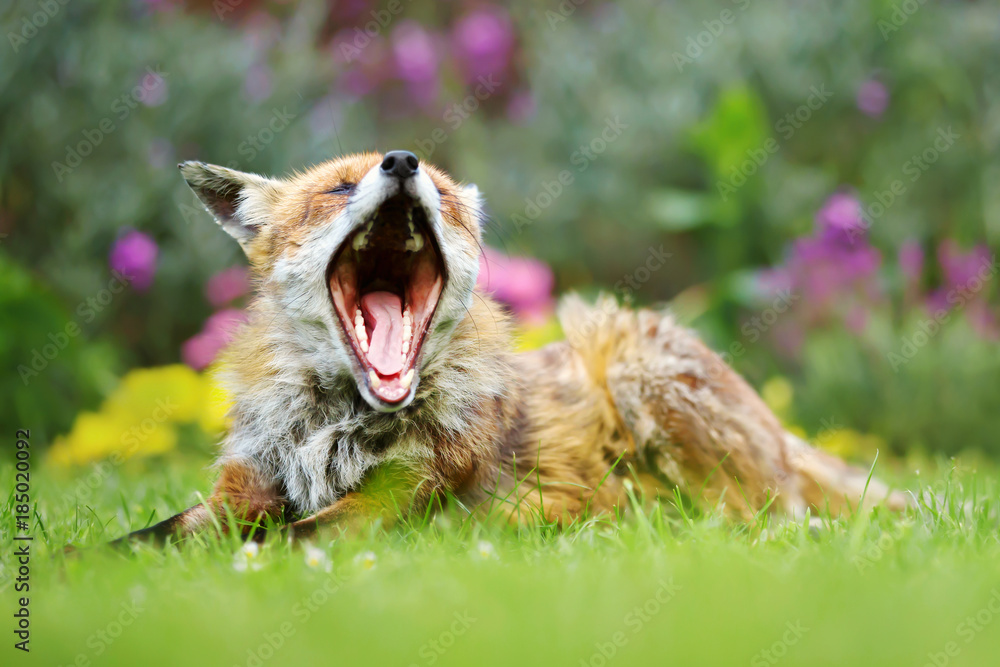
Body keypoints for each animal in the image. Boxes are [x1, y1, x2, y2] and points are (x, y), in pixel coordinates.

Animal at [116, 150, 906, 546]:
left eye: (438, 189)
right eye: (338, 188)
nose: (400, 161)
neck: (332, 425)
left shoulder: (401, 502)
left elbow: (281, 540)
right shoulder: (242, 491)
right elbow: (145, 538)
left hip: (628, 358)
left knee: (764, 512)